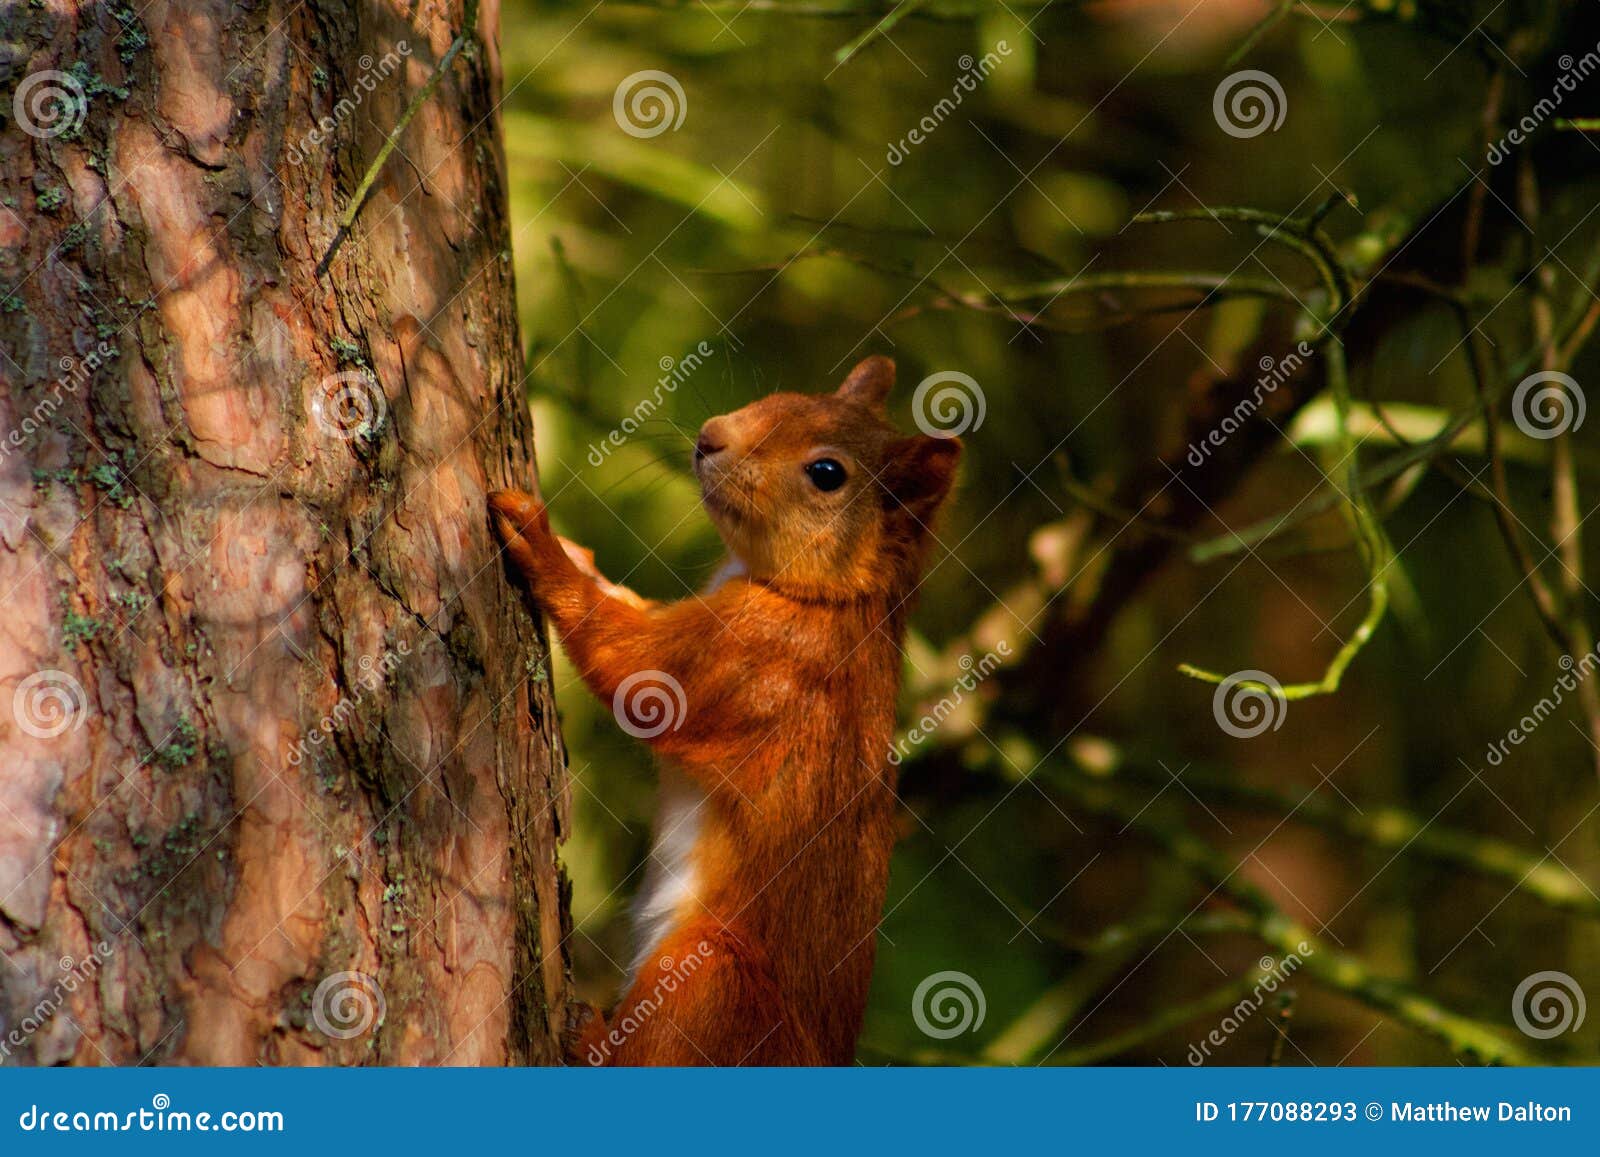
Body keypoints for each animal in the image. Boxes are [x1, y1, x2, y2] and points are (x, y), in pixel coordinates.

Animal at [488, 356, 960, 1065]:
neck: (834, 600)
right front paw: (576, 555)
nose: (710, 436)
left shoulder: (759, 663)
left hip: (709, 979)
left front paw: (540, 544)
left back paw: (588, 1036)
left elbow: (635, 665)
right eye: (781, 396)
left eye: (828, 473)